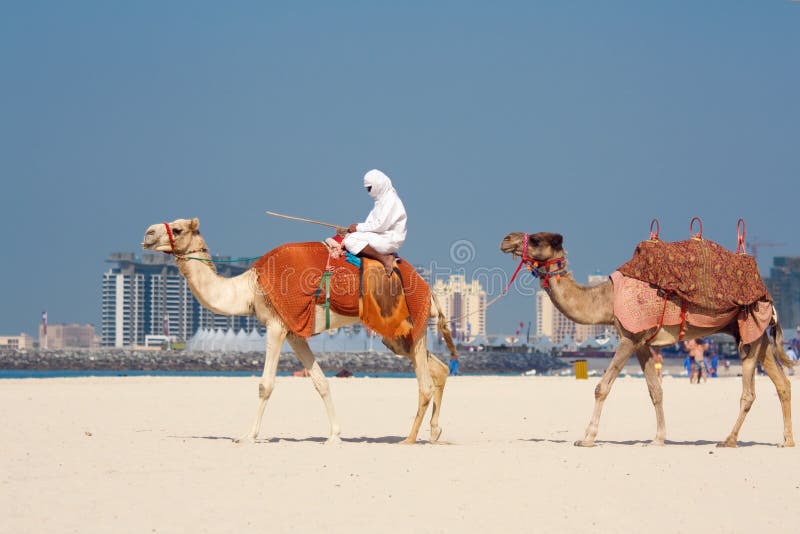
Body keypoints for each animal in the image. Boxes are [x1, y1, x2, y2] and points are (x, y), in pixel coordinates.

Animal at [142, 218, 456, 444]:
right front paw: (334, 436)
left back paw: (409, 439)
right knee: (439, 369)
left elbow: (265, 385)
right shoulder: (294, 332)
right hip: (397, 336)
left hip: (410, 323)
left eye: (178, 228)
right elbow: (320, 382)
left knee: (425, 383)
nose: (147, 233)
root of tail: (430, 290)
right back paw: (435, 432)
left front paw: (248, 436)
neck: (250, 288)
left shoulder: (276, 325)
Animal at [500, 231, 795, 447]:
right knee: (782, 383)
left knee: (749, 392)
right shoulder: (642, 343)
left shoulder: (629, 338)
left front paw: (587, 438)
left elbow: (602, 387)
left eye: (535, 239)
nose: (506, 238)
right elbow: (656, 390)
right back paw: (787, 441)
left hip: (749, 330)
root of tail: (769, 297)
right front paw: (658, 439)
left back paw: (729, 440)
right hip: (757, 335)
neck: (606, 300)